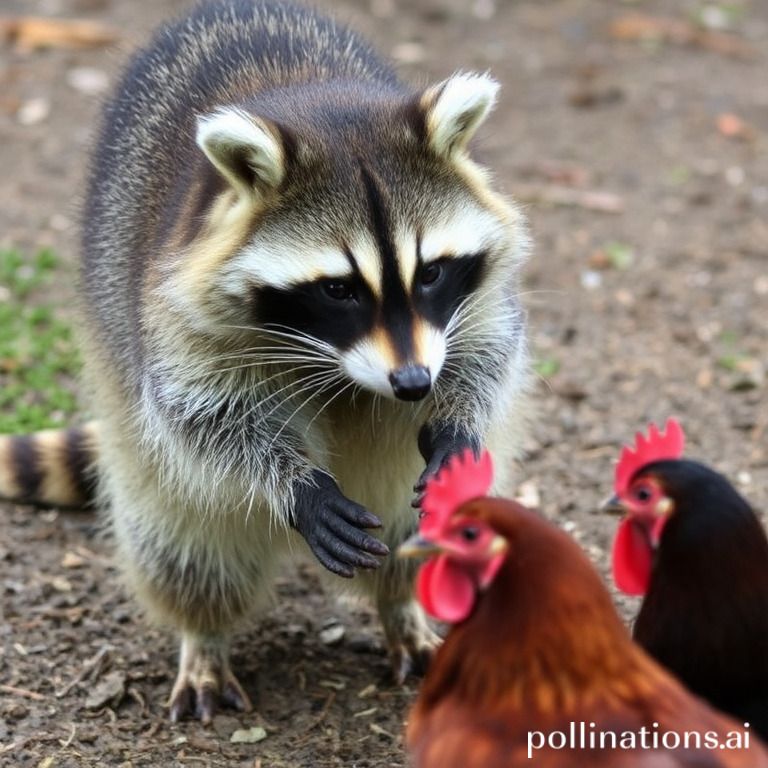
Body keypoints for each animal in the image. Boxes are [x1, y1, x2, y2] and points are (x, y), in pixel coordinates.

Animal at [0, 0, 531, 721]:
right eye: (339, 289)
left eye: (431, 274)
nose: (415, 384)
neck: (315, 96)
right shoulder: (173, 307)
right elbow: (201, 417)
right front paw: (296, 482)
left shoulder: (473, 304)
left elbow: (488, 353)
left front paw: (457, 422)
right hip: (143, 442)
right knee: (181, 547)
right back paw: (203, 636)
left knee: (414, 533)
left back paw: (401, 604)